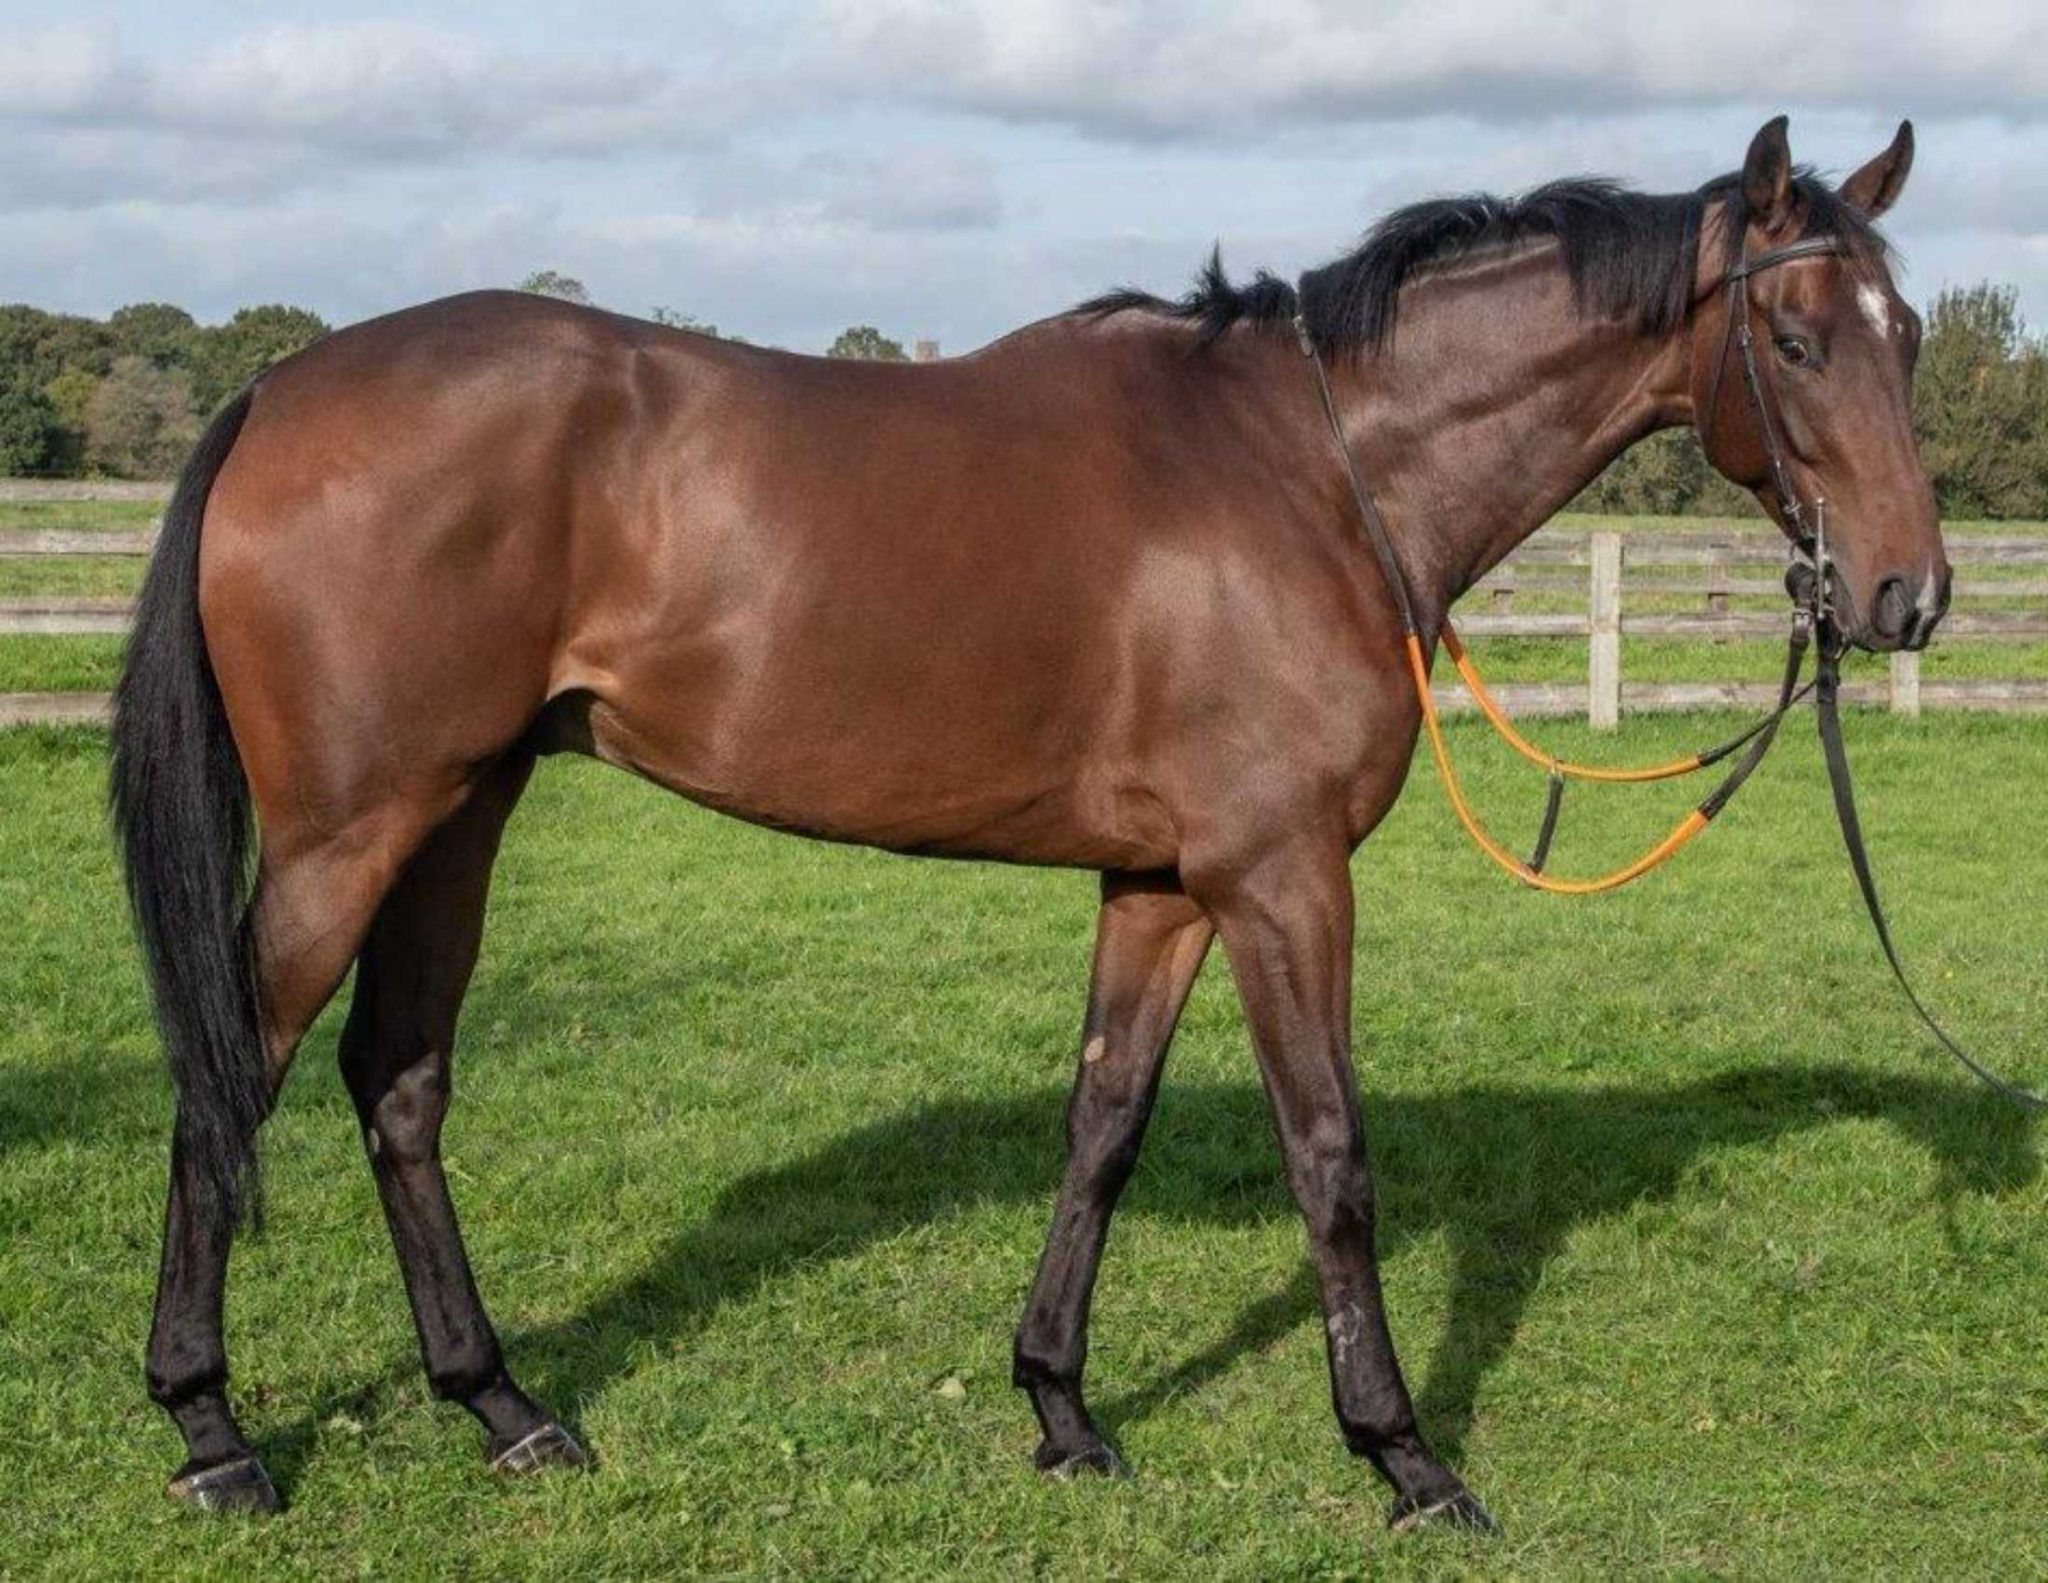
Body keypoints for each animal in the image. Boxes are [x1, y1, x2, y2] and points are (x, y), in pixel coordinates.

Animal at [113, 115, 1942, 1532]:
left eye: (1907, 335)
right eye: (1793, 341)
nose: (1904, 594)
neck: (1316, 472)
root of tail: (279, 388)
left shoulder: (1163, 882)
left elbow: (1103, 1124)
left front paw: (1062, 1408)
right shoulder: (1281, 880)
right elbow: (1331, 1152)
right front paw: (1405, 1457)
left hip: (458, 812)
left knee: (397, 1080)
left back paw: (503, 1404)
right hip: (352, 833)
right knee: (229, 1079)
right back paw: (211, 1428)